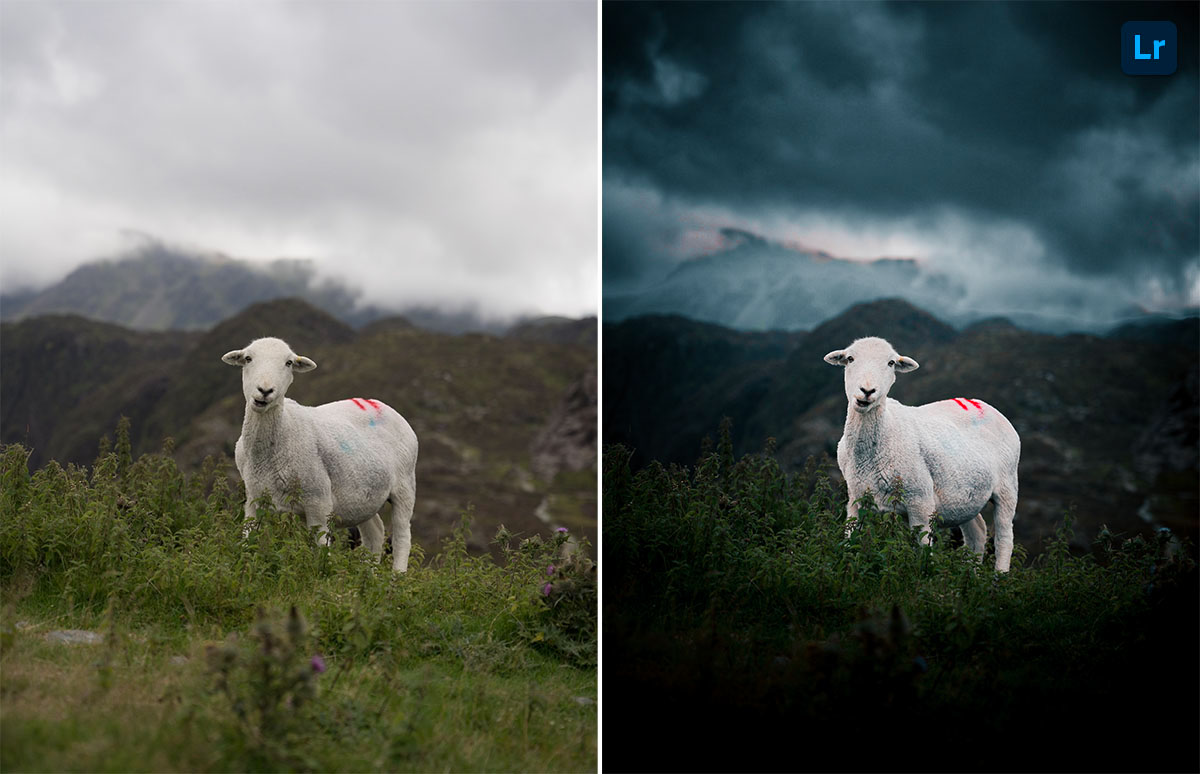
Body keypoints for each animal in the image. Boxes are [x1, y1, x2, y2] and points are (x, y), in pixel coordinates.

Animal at [222, 337, 418, 572]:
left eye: (288, 363)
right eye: (248, 358)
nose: (265, 390)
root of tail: (383, 406)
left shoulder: (319, 502)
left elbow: (322, 548)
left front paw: (324, 573)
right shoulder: (254, 497)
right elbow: (247, 538)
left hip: (405, 485)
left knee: (402, 537)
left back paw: (397, 577)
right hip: (364, 495)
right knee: (375, 533)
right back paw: (367, 576)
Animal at [823, 336, 1020, 572]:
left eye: (891, 363)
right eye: (850, 359)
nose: (867, 390)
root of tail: (986, 406)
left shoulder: (921, 501)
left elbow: (923, 550)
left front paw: (925, 573)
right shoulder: (856, 497)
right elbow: (850, 538)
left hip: (1007, 486)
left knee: (1004, 538)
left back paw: (999, 576)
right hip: (966, 495)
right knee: (977, 533)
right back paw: (970, 575)